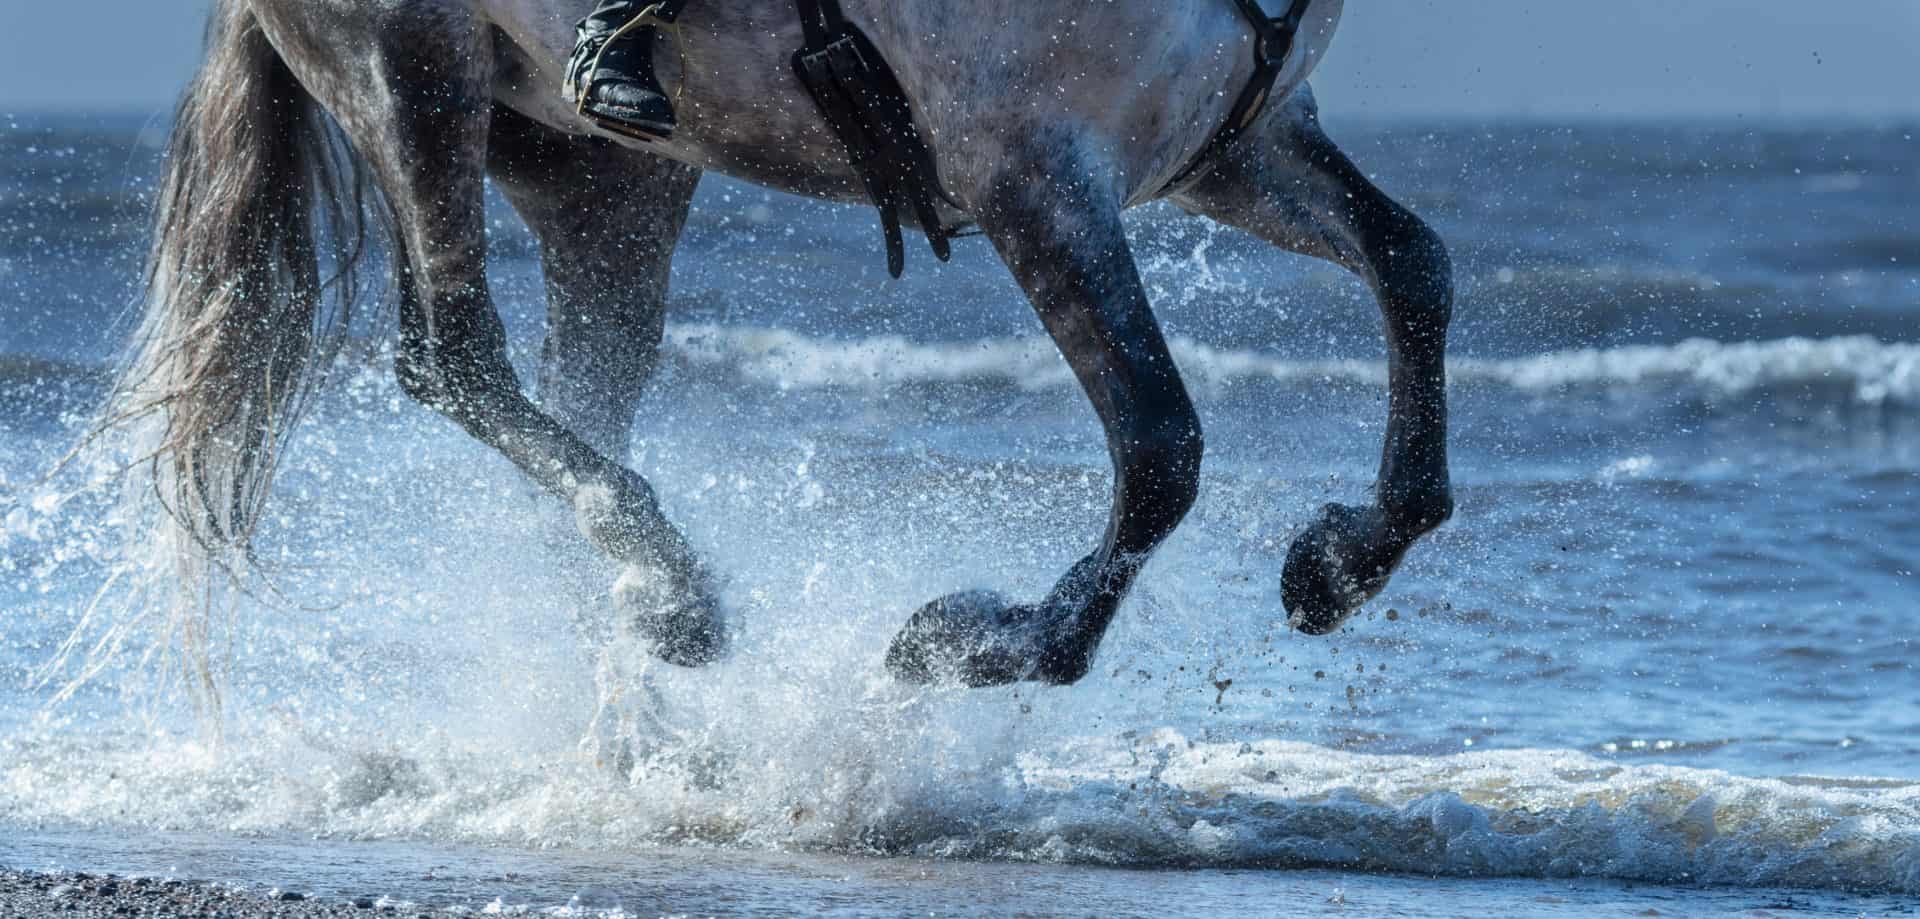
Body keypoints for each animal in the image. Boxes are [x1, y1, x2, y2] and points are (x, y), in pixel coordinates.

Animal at [114, 0, 1454, 691]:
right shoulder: (1036, 176)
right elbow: (1162, 443)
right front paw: (986, 641)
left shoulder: (1242, 144)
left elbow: (1414, 265)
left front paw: (1343, 560)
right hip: (409, 69)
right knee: (452, 356)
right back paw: (676, 592)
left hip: (602, 179)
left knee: (573, 394)